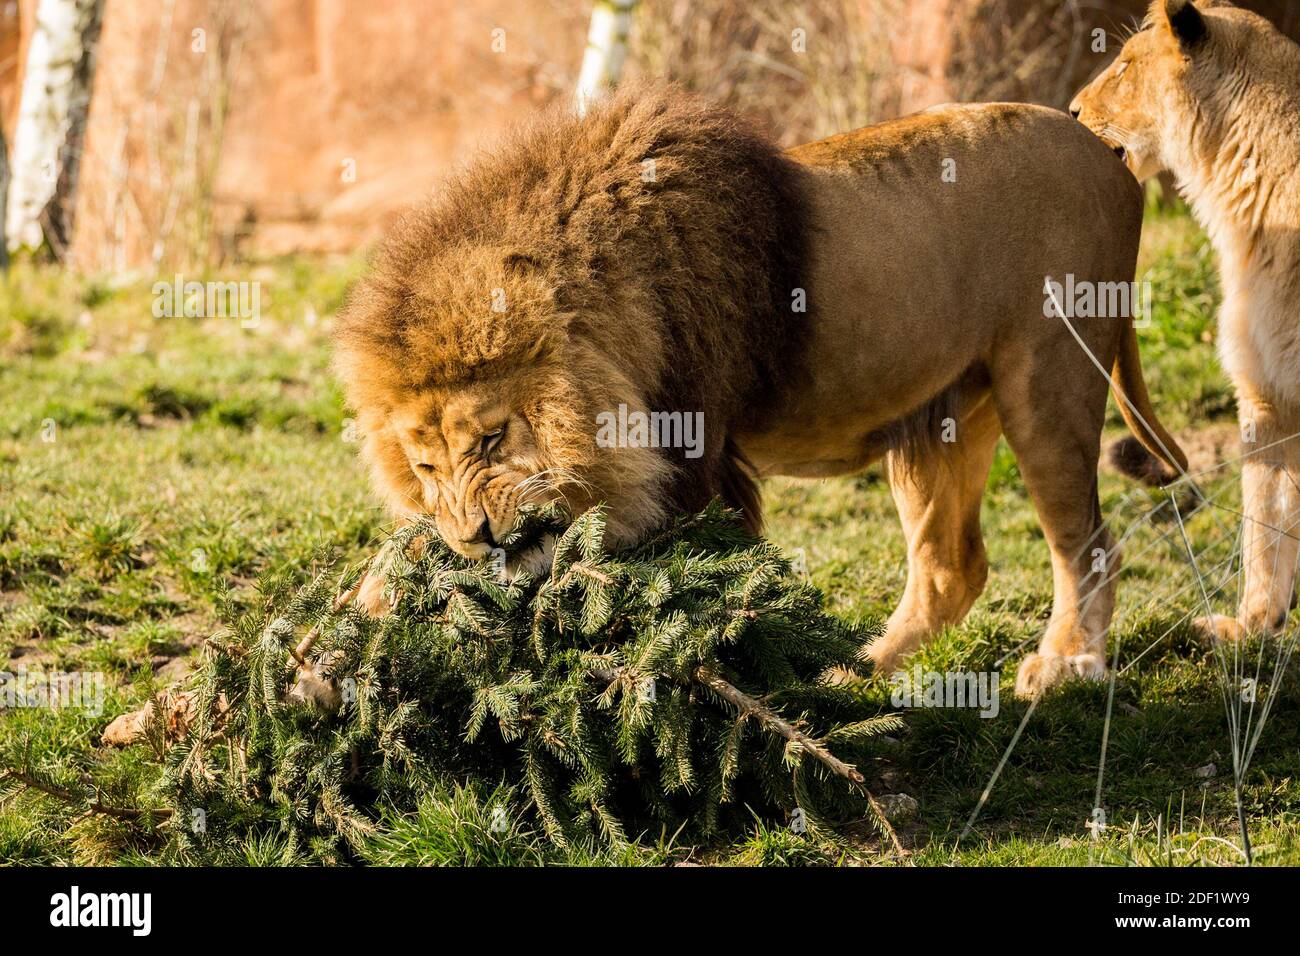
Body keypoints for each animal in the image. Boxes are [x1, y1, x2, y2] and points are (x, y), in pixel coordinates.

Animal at [334, 85, 1187, 698]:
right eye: (425, 468)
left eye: (490, 438)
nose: (478, 538)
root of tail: (1106, 149)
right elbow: (399, 564)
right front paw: (332, 656)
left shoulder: (692, 462)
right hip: (940, 417)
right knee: (952, 568)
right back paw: (852, 673)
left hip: (1049, 374)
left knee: (1086, 543)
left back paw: (1064, 667)